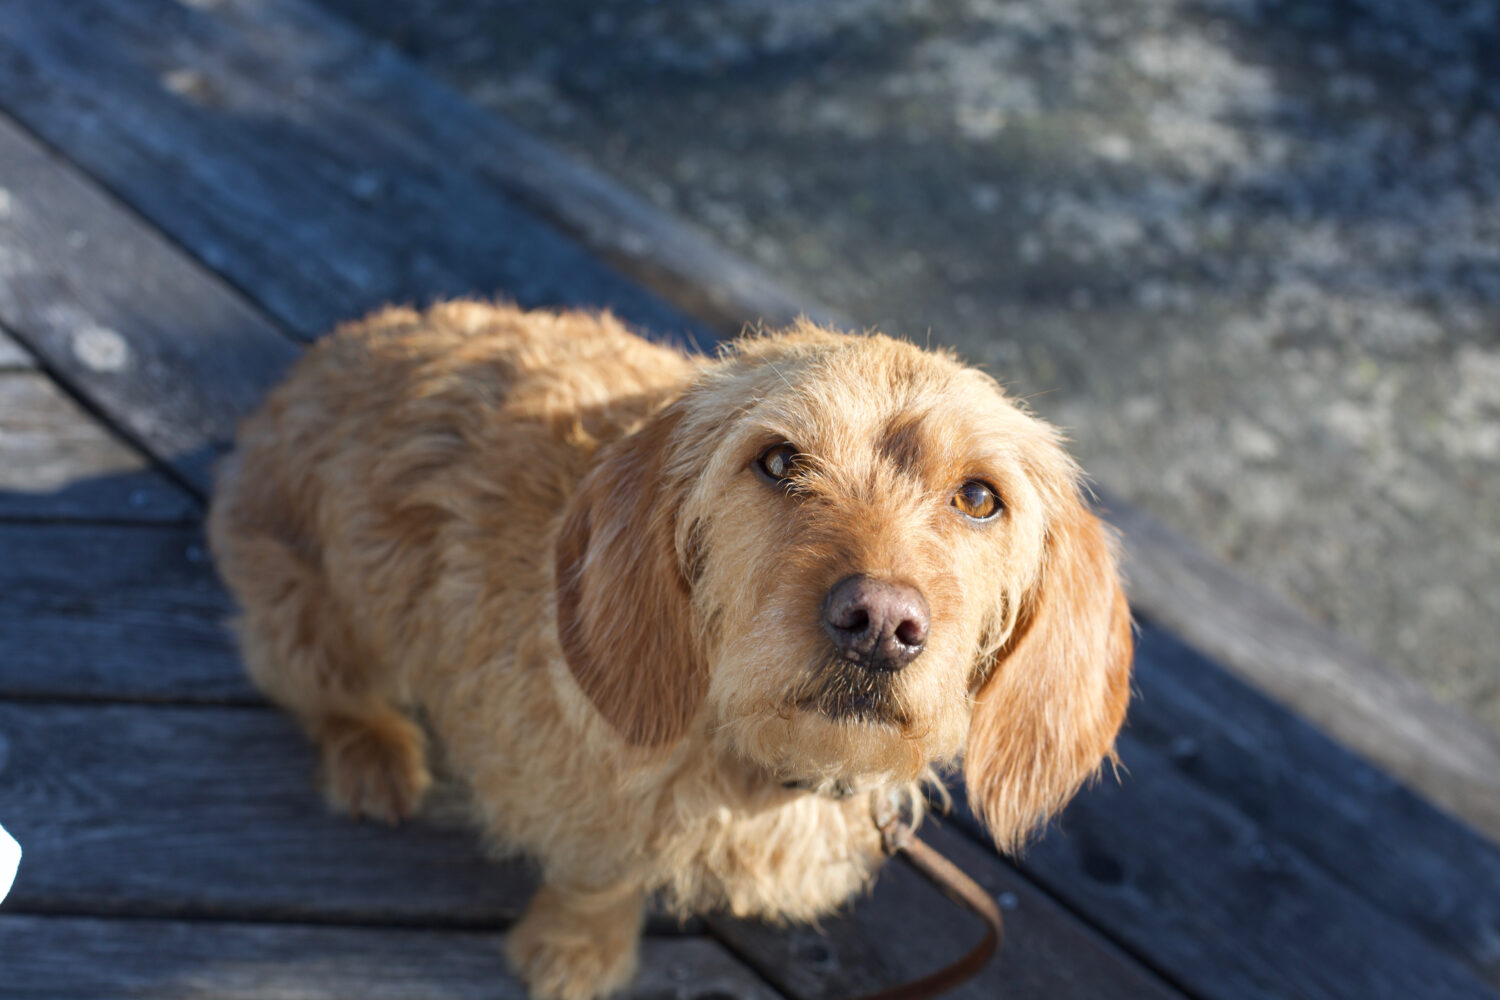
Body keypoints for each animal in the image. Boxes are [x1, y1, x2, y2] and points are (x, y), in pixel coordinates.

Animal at [205, 302, 1128, 1000]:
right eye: (778, 460)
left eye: (979, 497)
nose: (879, 622)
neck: (755, 761)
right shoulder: (579, 793)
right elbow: (602, 869)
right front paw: (577, 952)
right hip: (299, 612)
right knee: (329, 687)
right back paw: (373, 753)